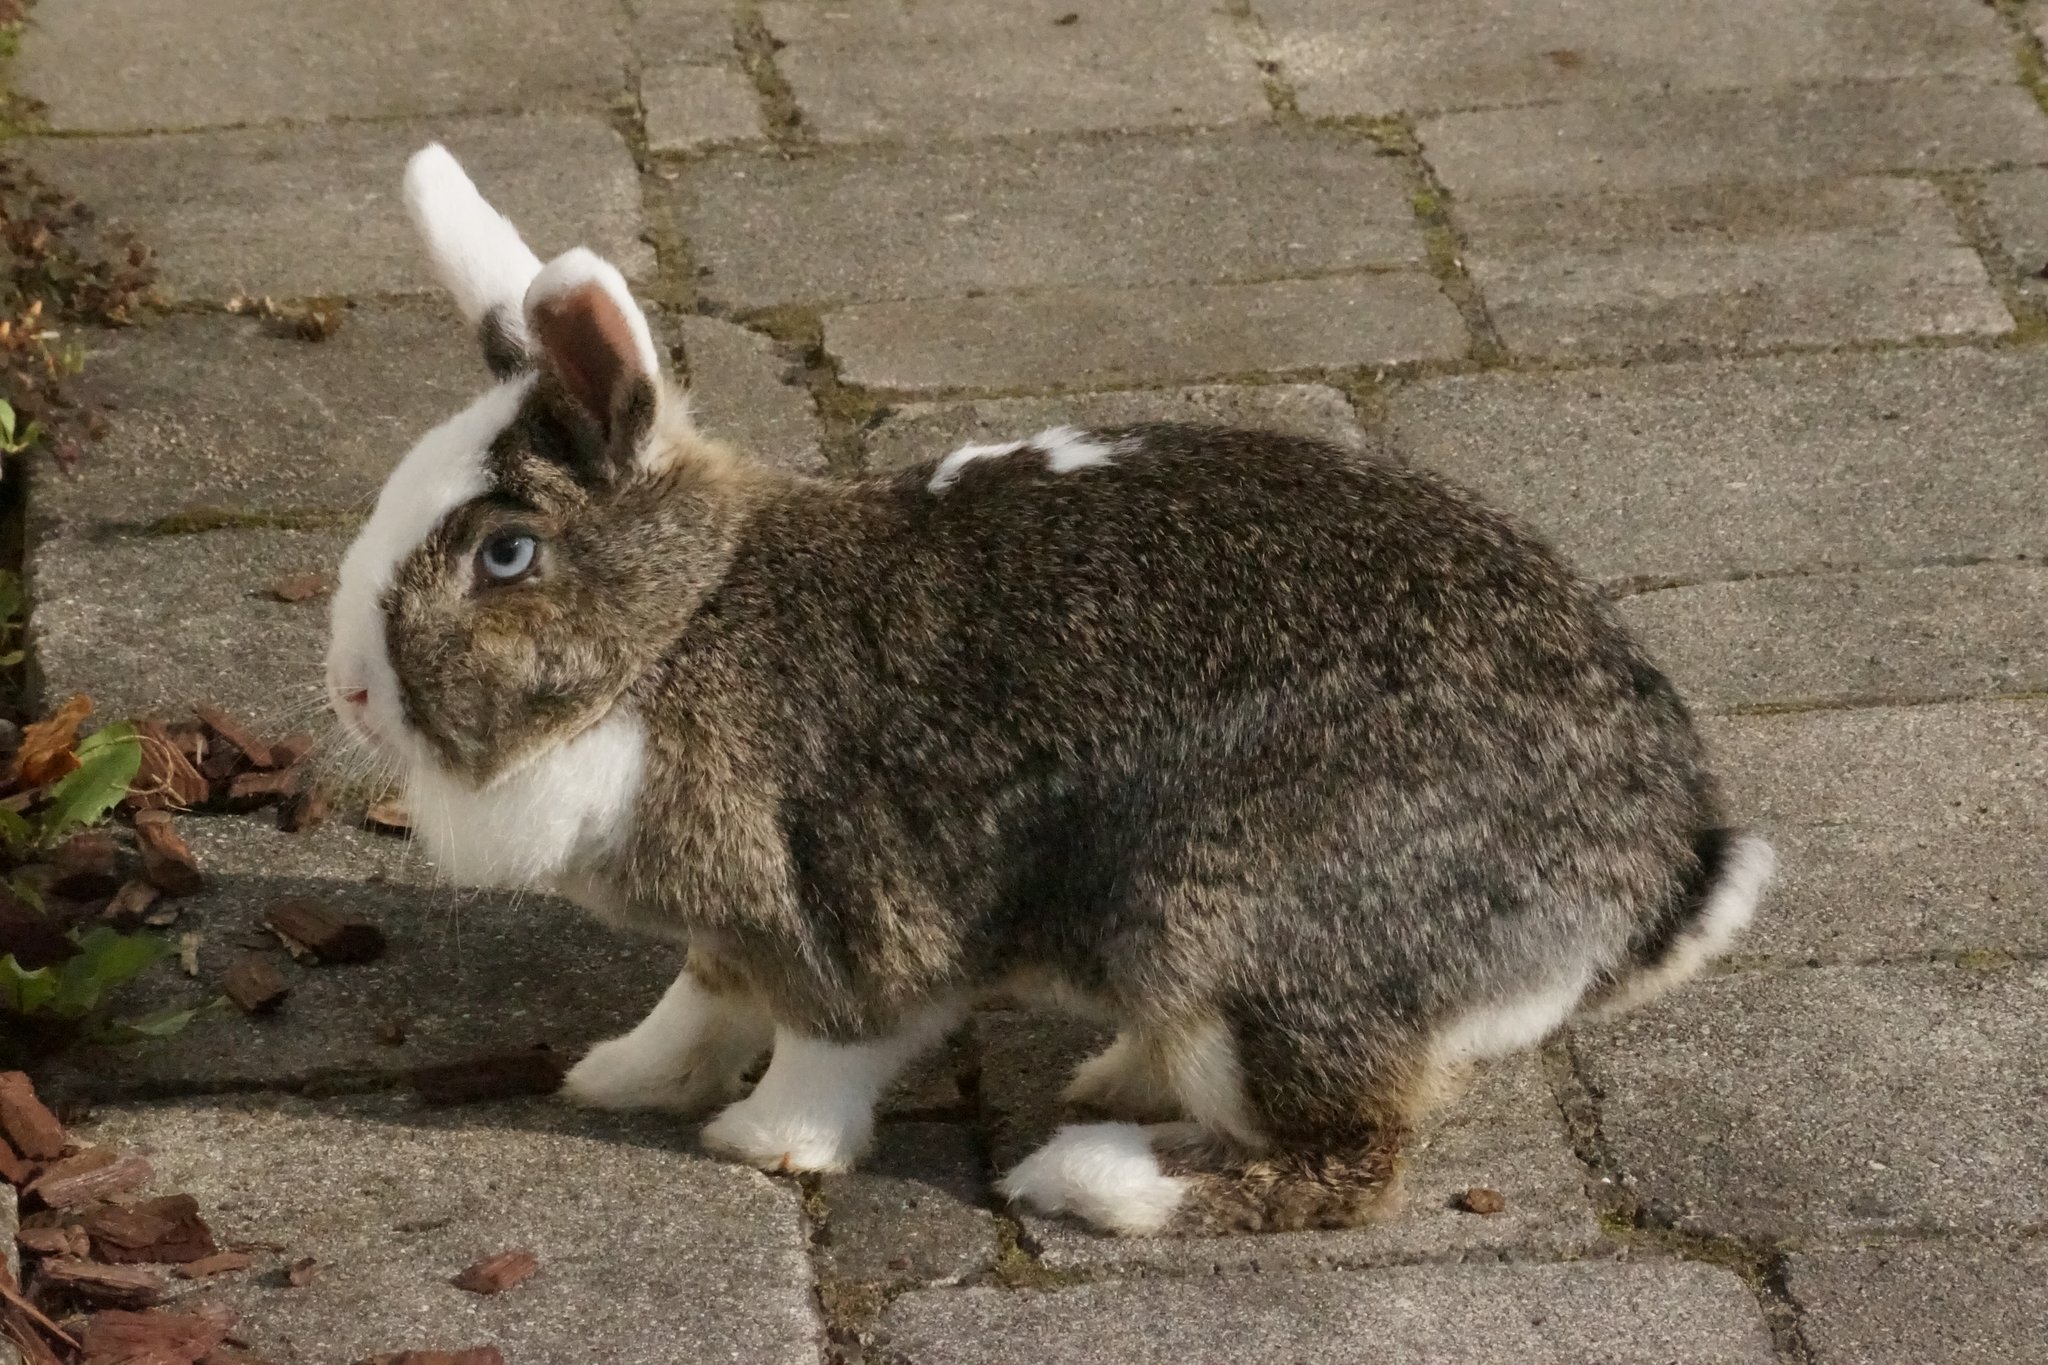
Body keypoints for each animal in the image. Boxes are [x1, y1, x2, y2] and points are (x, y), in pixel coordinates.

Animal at [325, 143, 1774, 1238]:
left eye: (506, 552)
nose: (347, 691)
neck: (687, 625)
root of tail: (1657, 873)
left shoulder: (843, 914)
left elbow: (829, 1046)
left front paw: (764, 1147)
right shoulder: (730, 929)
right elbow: (698, 999)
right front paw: (617, 1080)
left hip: (1250, 948)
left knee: (1346, 1165)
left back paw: (1088, 1176)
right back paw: (1115, 1077)